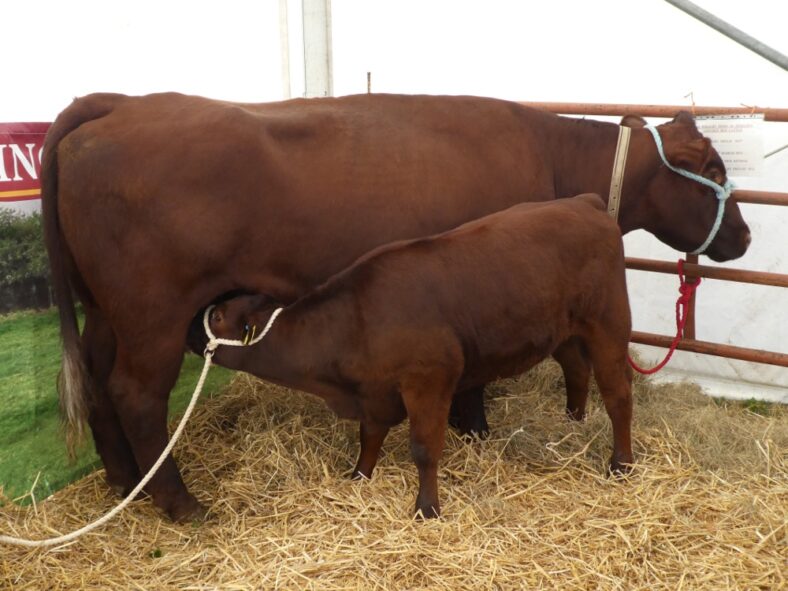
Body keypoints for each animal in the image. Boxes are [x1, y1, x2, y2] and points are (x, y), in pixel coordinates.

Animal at [197, 194, 633, 518]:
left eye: (217, 316)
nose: (192, 328)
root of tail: (583, 203)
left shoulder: (429, 380)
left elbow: (424, 448)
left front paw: (427, 508)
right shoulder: (374, 393)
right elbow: (368, 438)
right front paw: (359, 477)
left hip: (610, 324)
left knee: (618, 395)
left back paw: (621, 464)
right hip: (563, 329)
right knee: (576, 368)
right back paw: (572, 422)